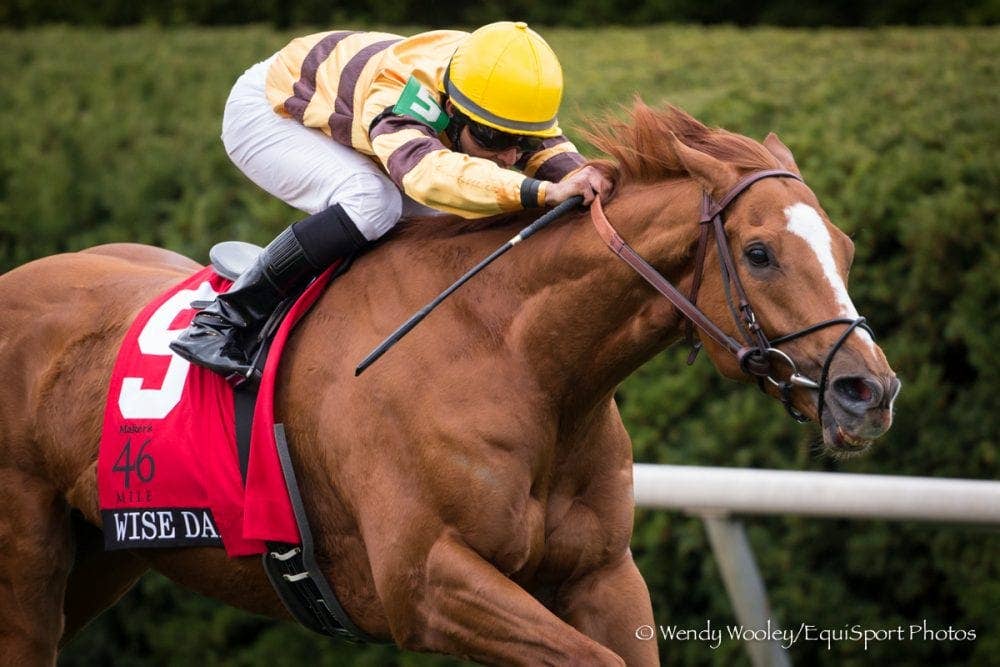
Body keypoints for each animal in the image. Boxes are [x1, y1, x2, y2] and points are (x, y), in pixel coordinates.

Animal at [0, 101, 898, 665]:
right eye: (760, 253)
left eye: (846, 247)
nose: (869, 392)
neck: (522, 364)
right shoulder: (427, 582)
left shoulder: (602, 573)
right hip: (29, 568)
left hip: (102, 557)